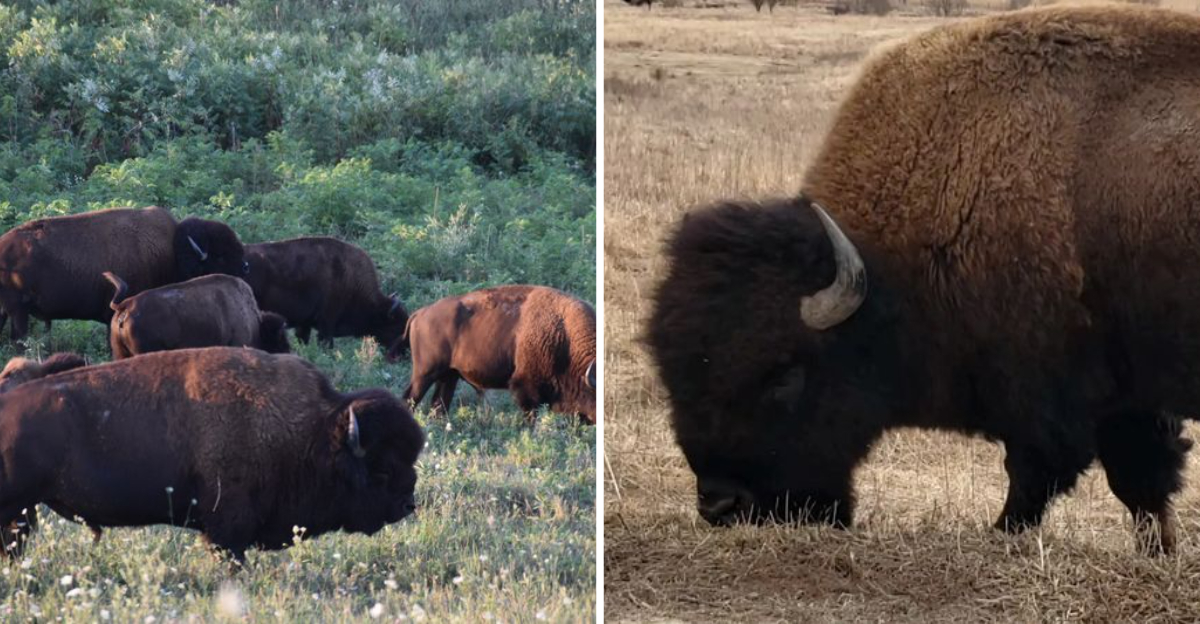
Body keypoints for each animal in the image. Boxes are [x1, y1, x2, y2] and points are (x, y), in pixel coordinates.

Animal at [389, 285, 596, 423]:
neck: (564, 335)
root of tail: (420, 314)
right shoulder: (524, 387)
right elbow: (530, 416)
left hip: (448, 376)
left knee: (438, 404)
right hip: (424, 374)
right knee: (410, 399)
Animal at [648, 6, 1200, 554]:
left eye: (785, 375)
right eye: (673, 375)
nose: (721, 503)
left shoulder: (1052, 397)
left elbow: (1048, 478)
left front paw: (1001, 534)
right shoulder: (1125, 398)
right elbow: (1140, 482)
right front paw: (1159, 552)